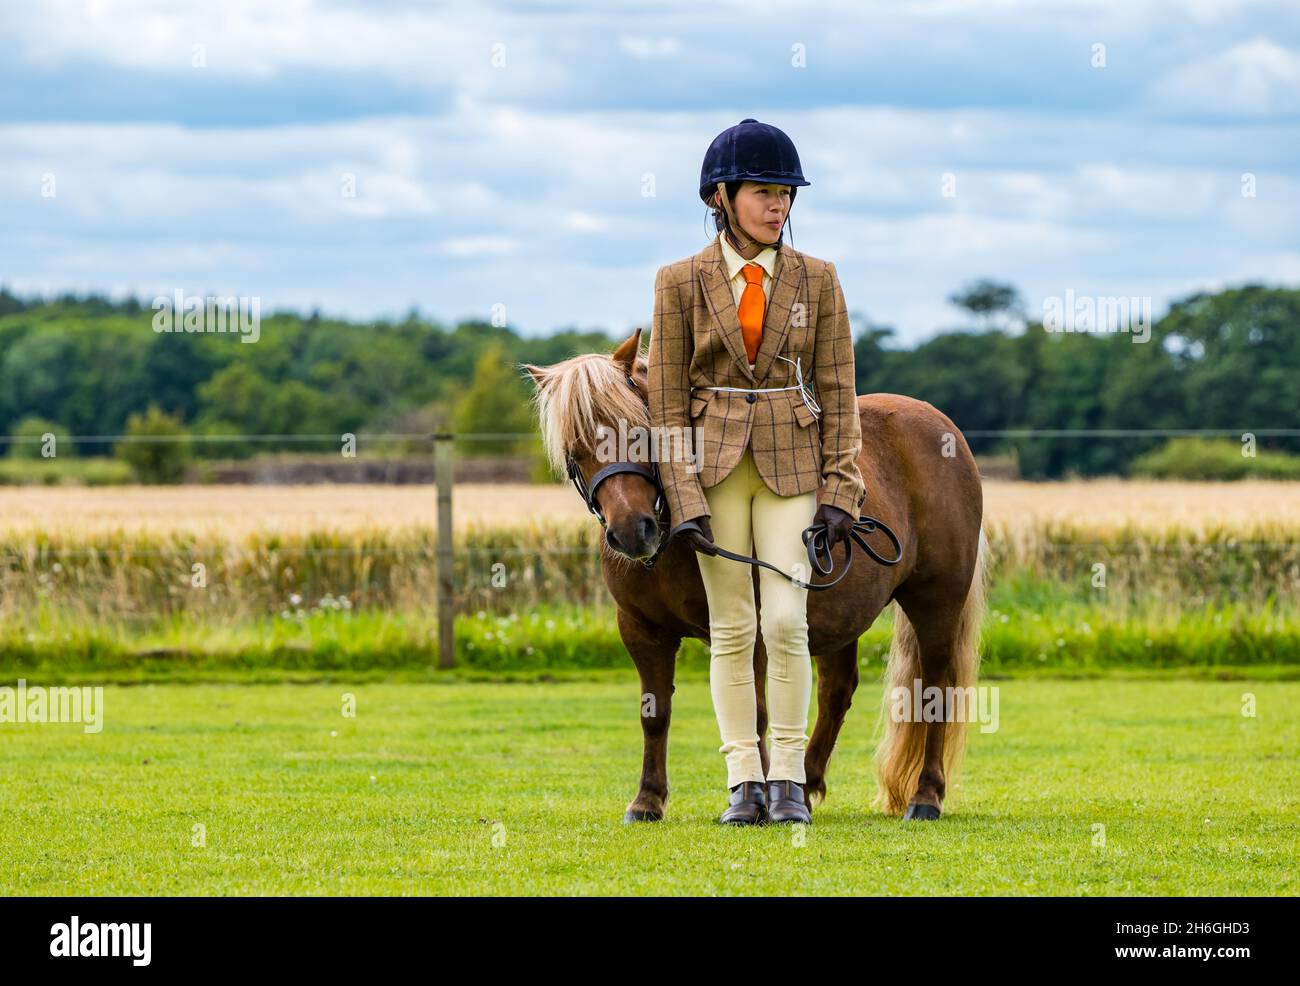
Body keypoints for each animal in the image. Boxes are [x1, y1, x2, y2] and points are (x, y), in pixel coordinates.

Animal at [522, 328, 988, 822]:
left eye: (640, 432)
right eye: (574, 450)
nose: (633, 531)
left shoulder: (757, 627)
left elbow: (760, 710)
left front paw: (759, 799)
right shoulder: (641, 630)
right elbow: (655, 713)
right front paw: (647, 800)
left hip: (936, 602)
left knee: (936, 686)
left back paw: (925, 796)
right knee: (837, 691)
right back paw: (806, 782)